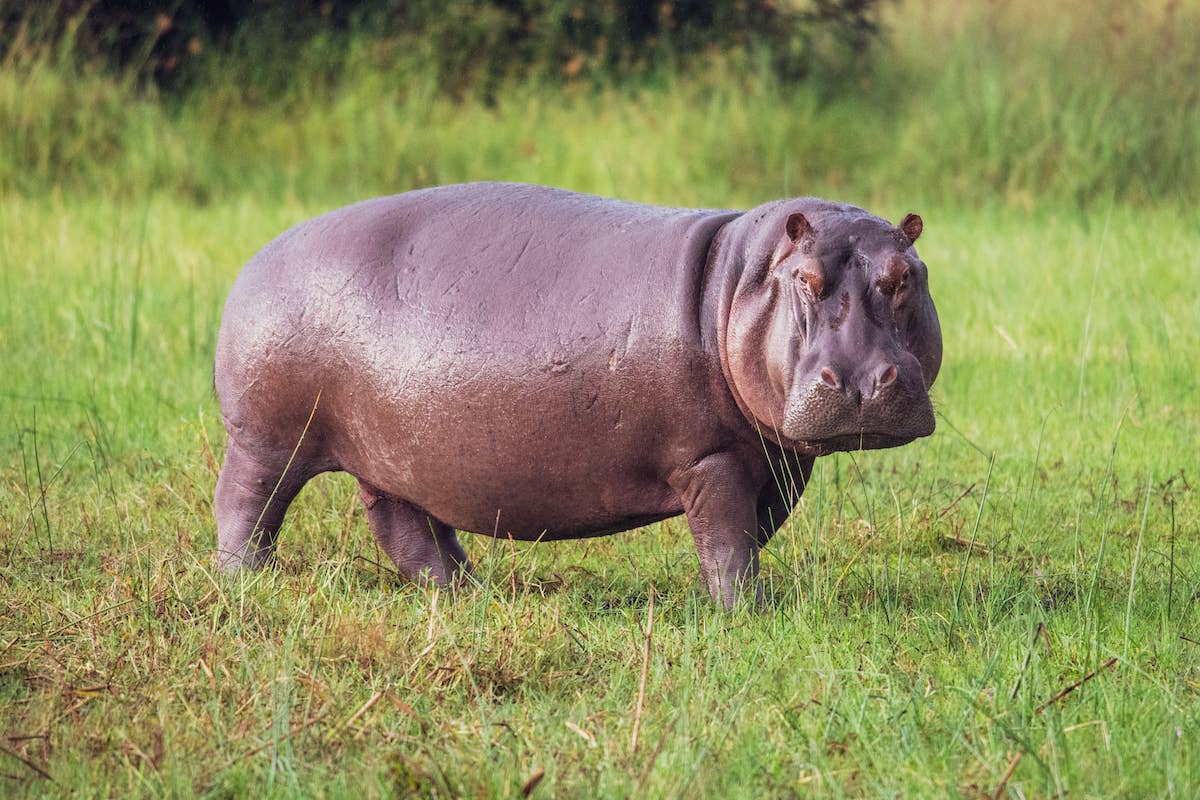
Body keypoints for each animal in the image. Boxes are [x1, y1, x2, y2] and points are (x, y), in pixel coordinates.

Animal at [214, 182, 941, 607]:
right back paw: (245, 581)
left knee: (408, 528)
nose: (858, 380)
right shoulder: (710, 460)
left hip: (394, 455)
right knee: (247, 505)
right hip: (267, 440)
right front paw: (746, 613)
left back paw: (468, 594)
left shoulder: (778, 459)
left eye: (906, 275)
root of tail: (254, 262)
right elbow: (728, 542)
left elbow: (753, 532)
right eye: (806, 281)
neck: (740, 276)